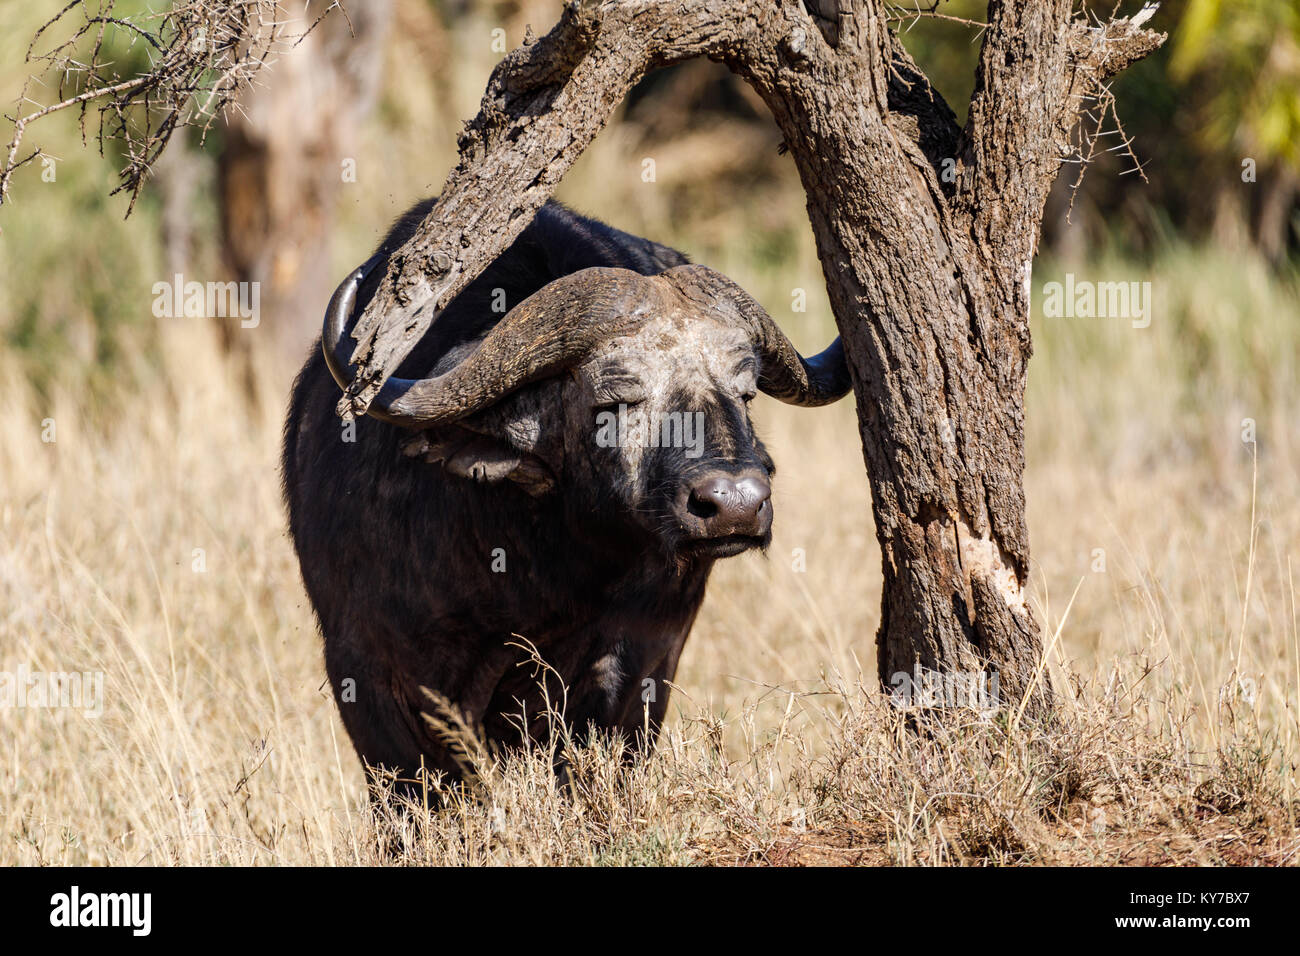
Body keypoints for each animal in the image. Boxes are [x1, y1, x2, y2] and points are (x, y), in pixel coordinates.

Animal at [283, 198, 849, 798]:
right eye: (615, 399)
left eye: (744, 393)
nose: (736, 502)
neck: (532, 565)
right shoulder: (370, 666)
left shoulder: (638, 658)